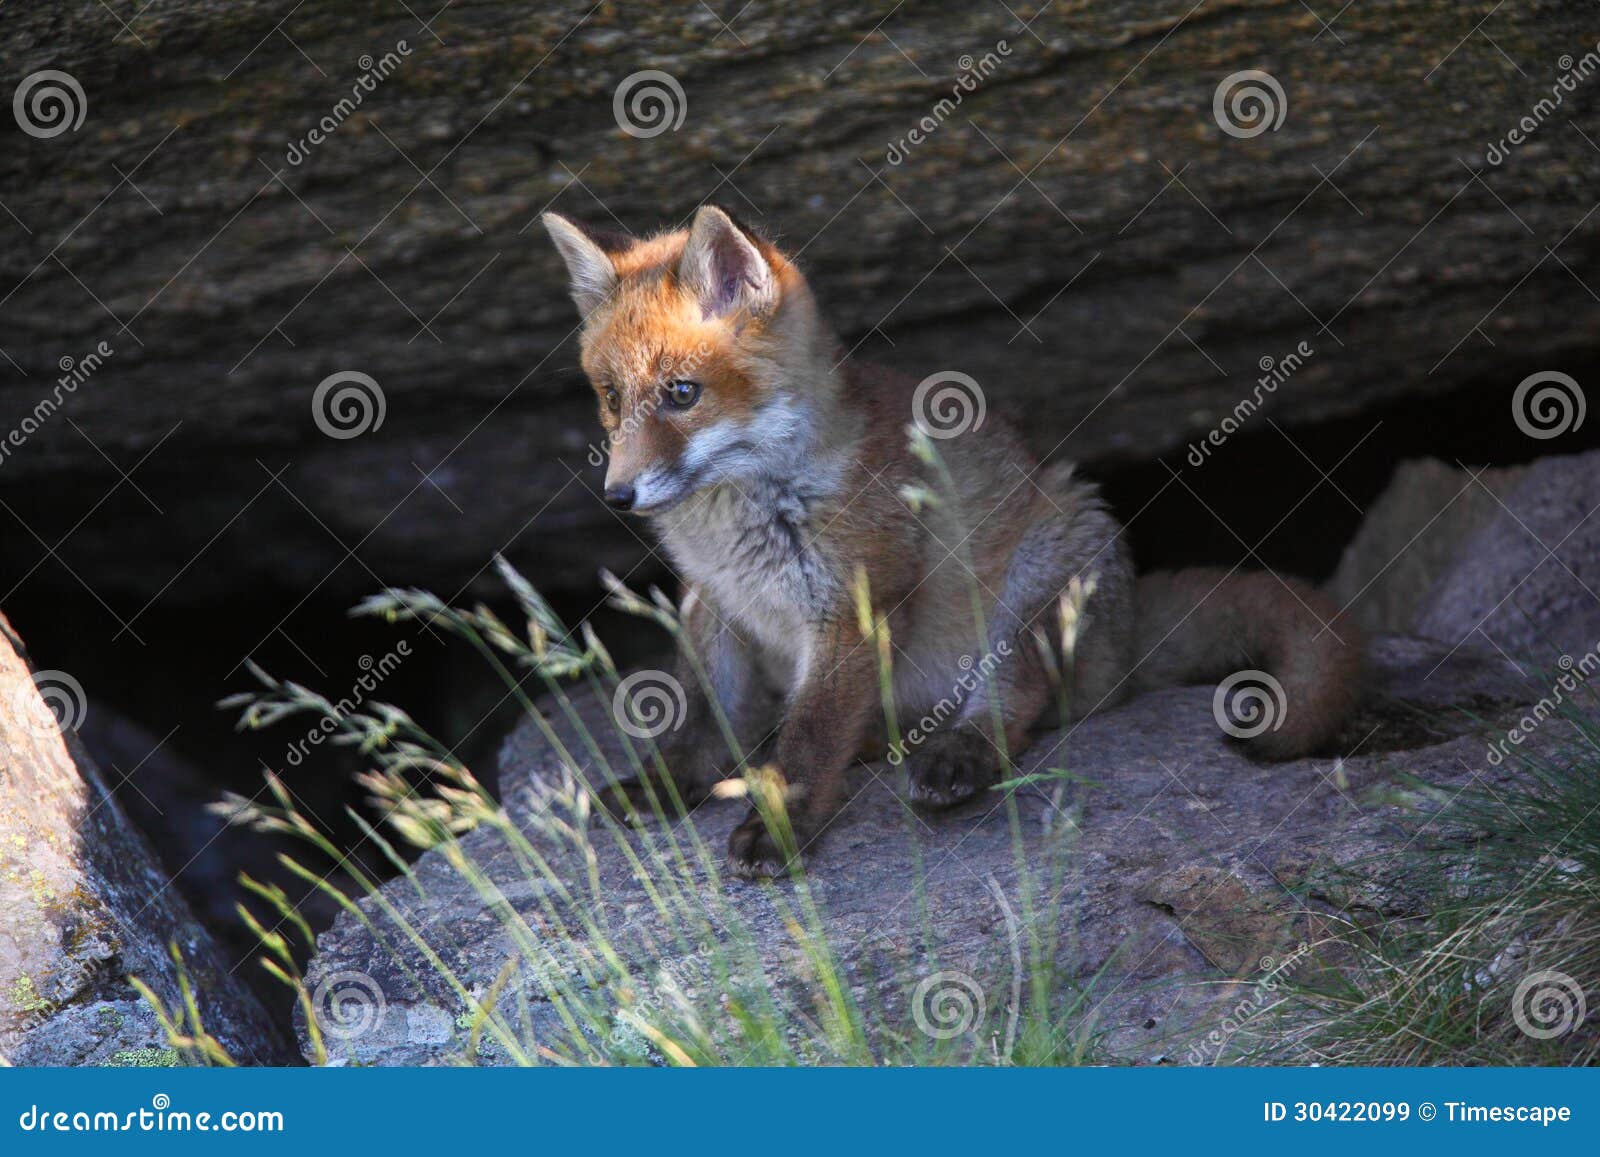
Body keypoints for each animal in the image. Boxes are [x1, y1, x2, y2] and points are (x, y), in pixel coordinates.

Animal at [542, 204, 1364, 879]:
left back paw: (956, 756)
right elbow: (697, 716)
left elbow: (810, 739)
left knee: (1016, 707)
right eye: (610, 396)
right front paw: (666, 784)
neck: (745, 523)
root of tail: (1129, 645)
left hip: (1043, 569)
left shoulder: (854, 611)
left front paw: (779, 826)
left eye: (682, 394)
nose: (618, 494)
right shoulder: (715, 605)